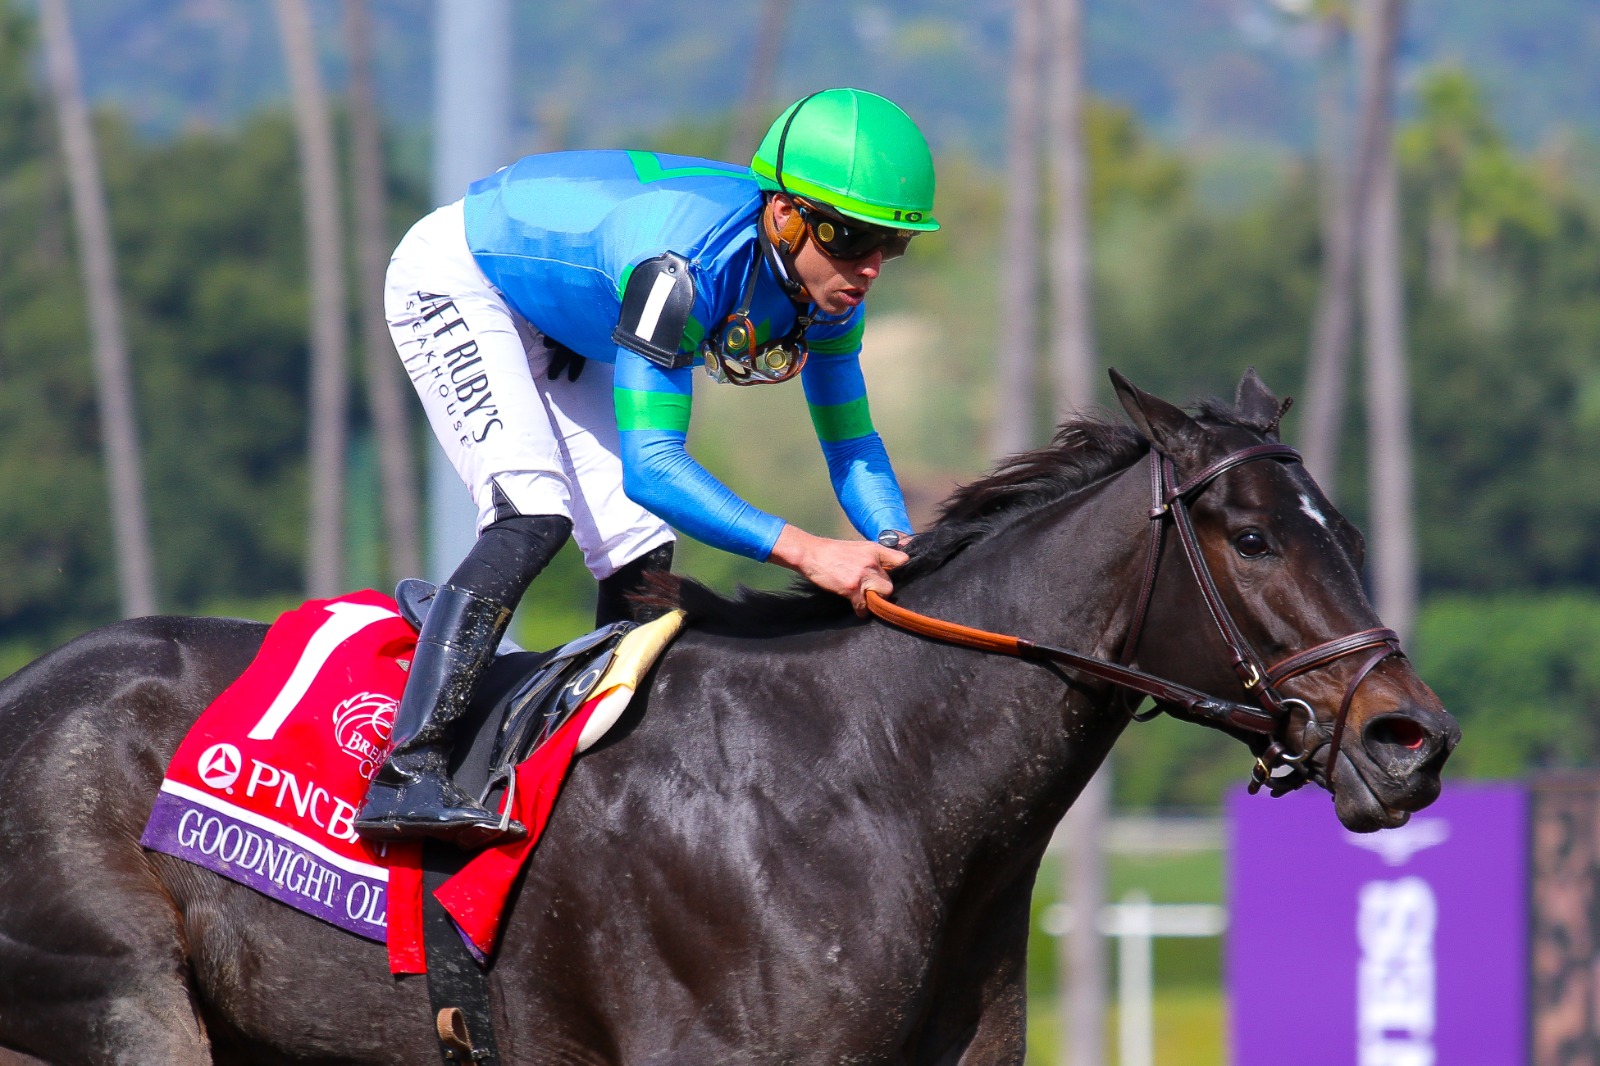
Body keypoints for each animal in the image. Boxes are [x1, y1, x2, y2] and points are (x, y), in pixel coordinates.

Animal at [0, 370, 1457, 1065]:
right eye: (1254, 536)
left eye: (1347, 528)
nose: (1412, 738)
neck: (879, 773)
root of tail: (28, 687)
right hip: (121, 1002)